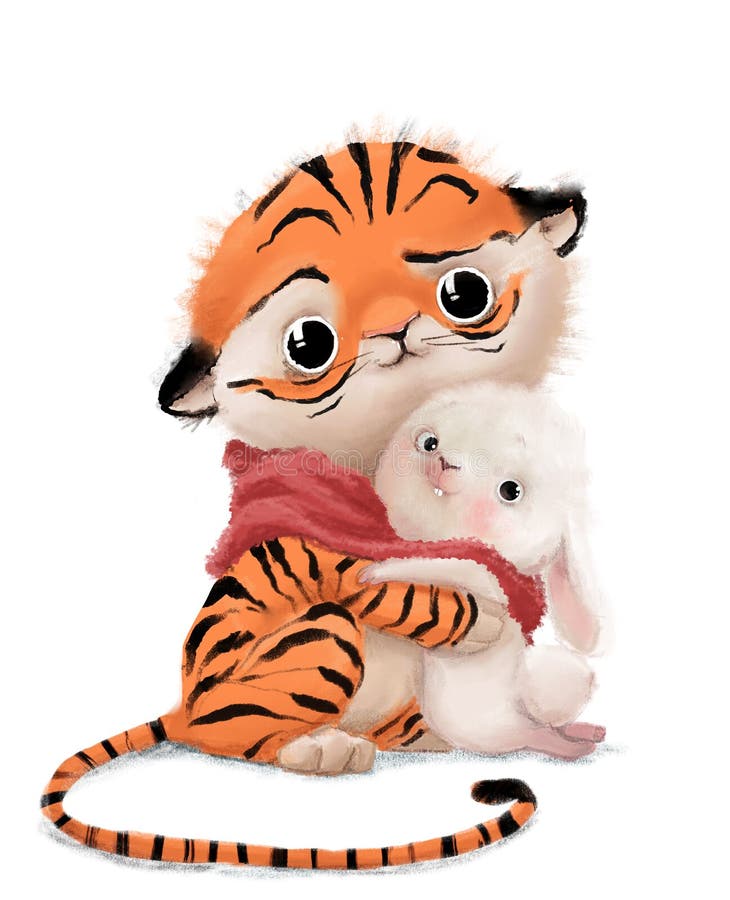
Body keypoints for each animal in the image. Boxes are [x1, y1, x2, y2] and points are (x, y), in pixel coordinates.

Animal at [41, 137, 586, 868]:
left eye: (465, 293)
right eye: (309, 344)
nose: (395, 328)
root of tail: (182, 708)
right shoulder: (344, 568)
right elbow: (418, 600)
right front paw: (484, 624)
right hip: (319, 641)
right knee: (238, 736)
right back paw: (319, 747)